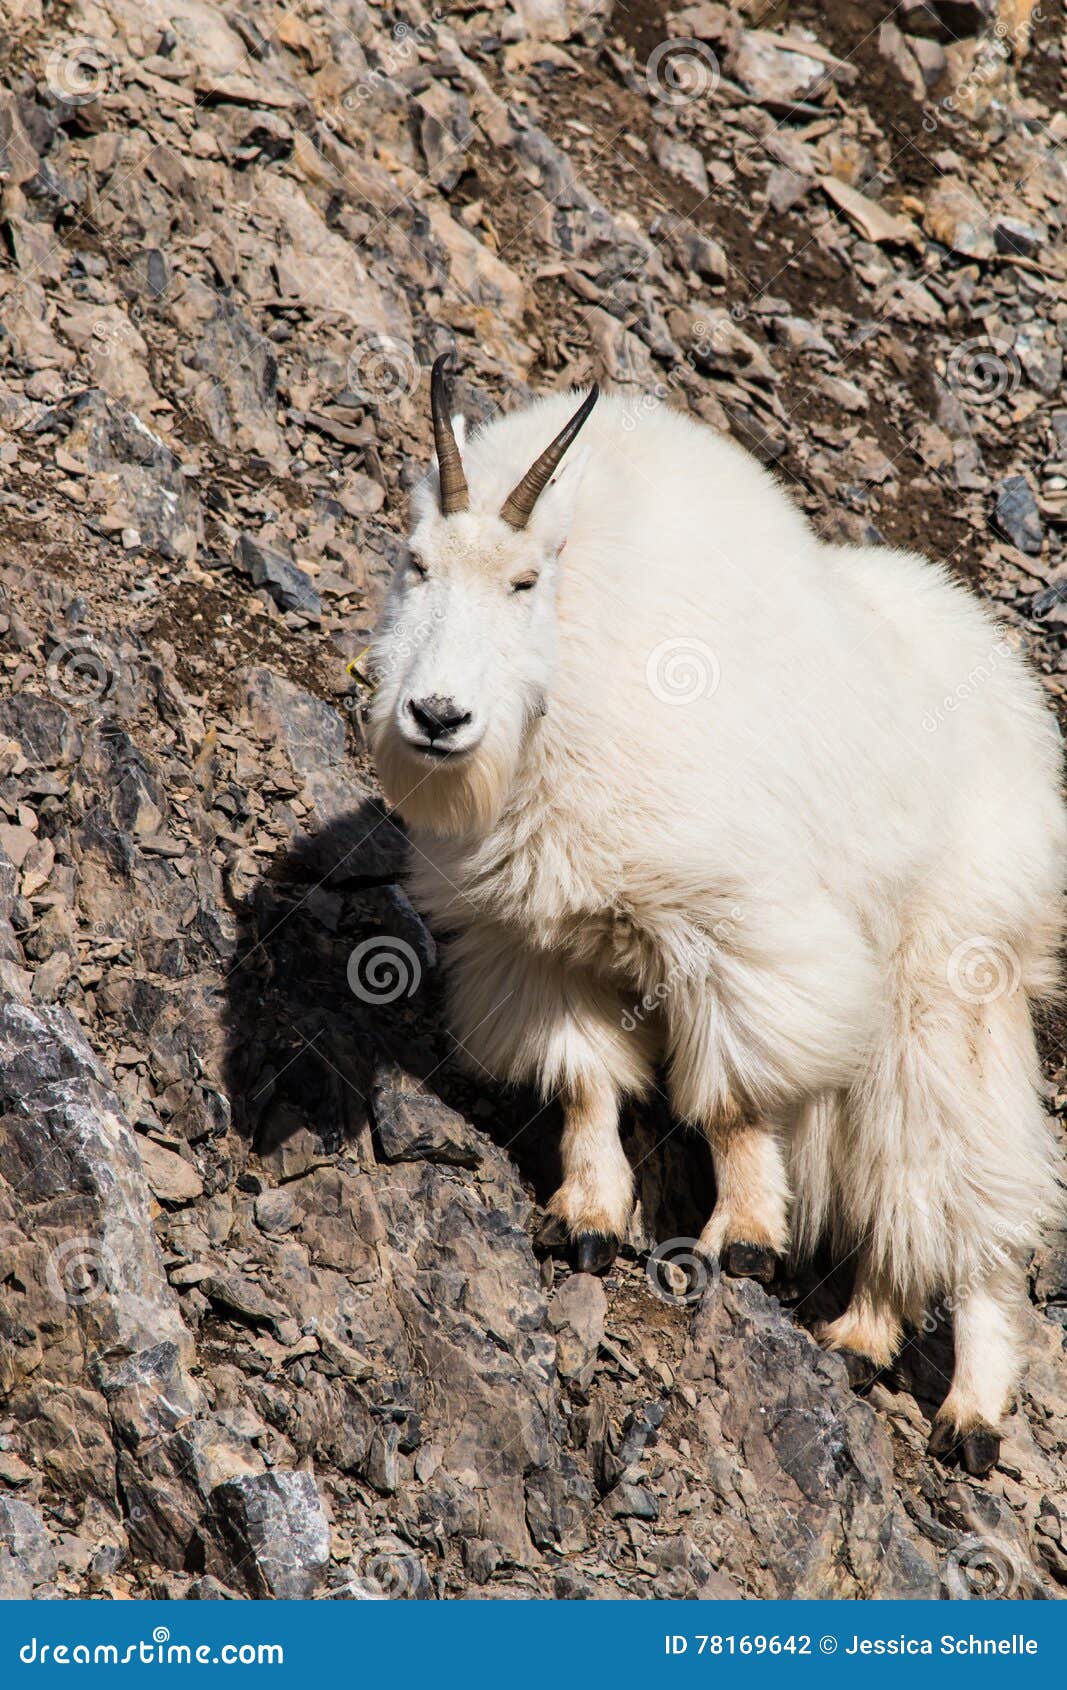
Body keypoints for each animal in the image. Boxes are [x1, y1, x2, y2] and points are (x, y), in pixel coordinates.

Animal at [368, 356, 1066, 1478]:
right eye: (413, 560)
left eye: (524, 582)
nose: (436, 718)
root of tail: (1018, 711)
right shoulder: (540, 947)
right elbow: (584, 1083)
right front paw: (588, 1218)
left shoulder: (733, 932)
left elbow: (733, 1098)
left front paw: (741, 1239)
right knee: (889, 1166)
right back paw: (859, 1336)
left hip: (947, 981)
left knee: (959, 1174)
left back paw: (969, 1410)